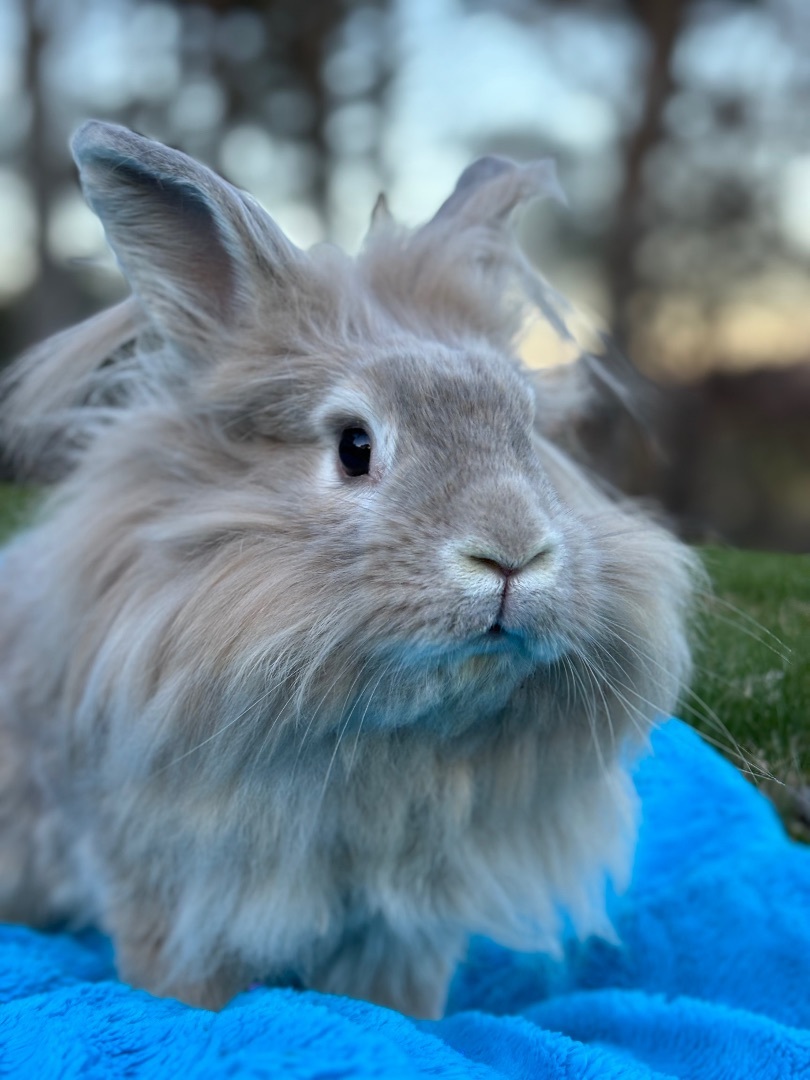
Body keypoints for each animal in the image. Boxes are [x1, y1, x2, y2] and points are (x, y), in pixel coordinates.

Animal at [0, 121, 698, 1019]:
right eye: (354, 446)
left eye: (528, 434)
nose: (511, 554)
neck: (391, 738)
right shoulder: (168, 888)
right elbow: (182, 985)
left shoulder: (404, 930)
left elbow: (394, 1005)